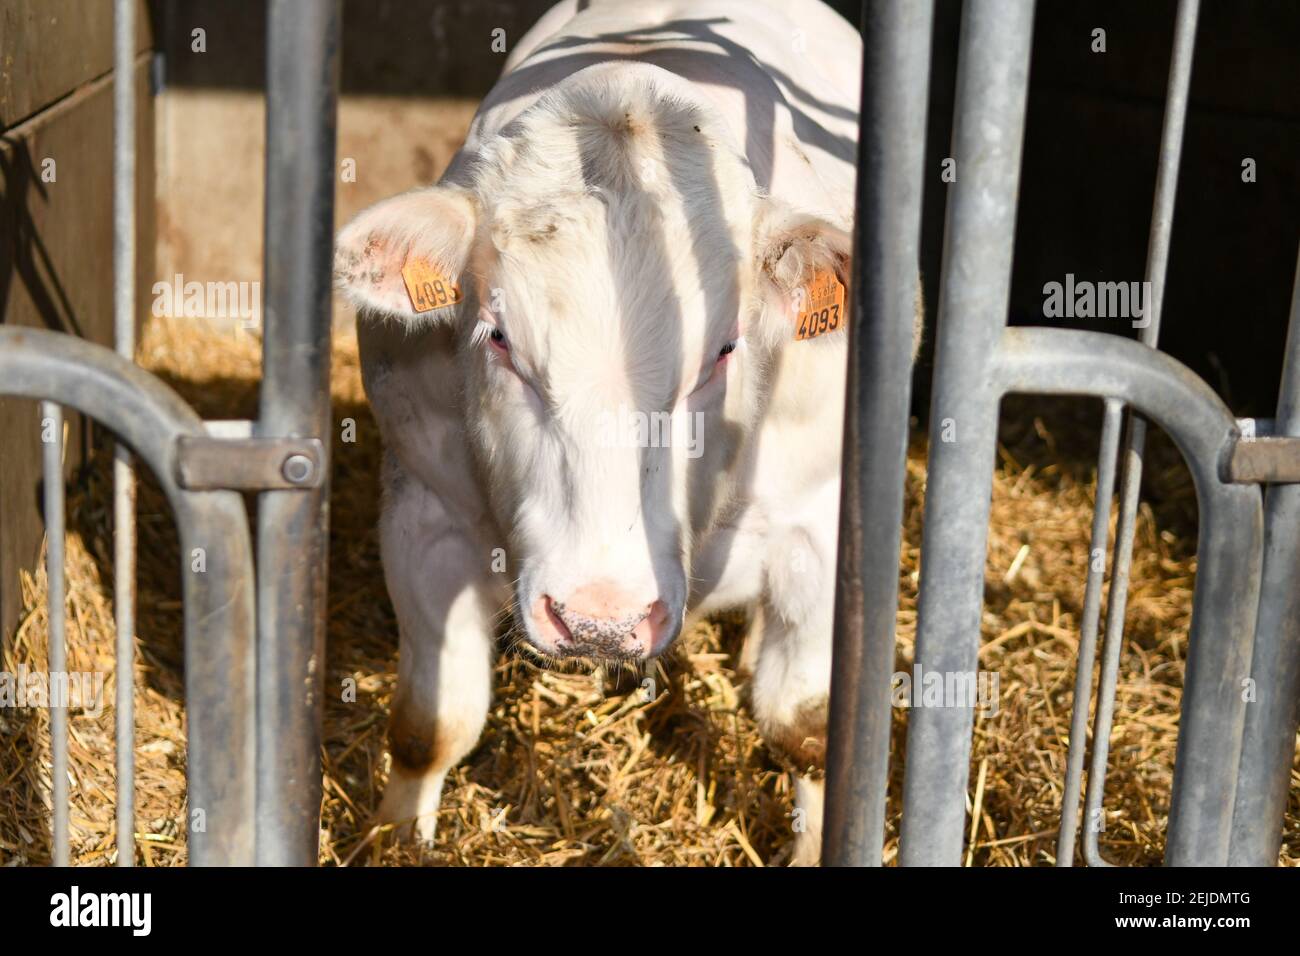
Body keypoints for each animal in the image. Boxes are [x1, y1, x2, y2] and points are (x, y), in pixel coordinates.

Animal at [334, 0, 878, 866]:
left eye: (725, 349)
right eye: (498, 338)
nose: (602, 620)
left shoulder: (820, 524)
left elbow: (804, 729)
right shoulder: (423, 508)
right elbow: (430, 723)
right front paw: (395, 837)